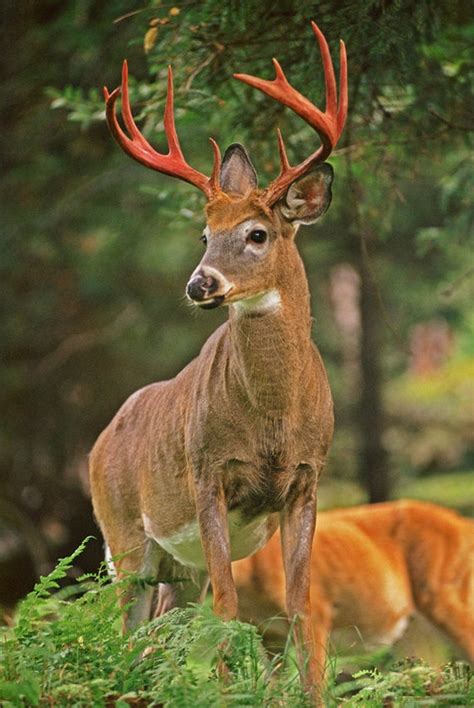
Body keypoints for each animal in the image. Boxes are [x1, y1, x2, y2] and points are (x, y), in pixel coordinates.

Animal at [90, 21, 347, 695]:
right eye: (204, 234)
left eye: (257, 233)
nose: (199, 284)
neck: (274, 419)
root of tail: (100, 438)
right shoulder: (208, 474)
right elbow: (230, 610)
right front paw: (233, 692)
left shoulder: (308, 479)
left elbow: (299, 607)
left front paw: (308, 696)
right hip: (124, 536)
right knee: (124, 628)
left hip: (177, 568)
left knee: (159, 628)